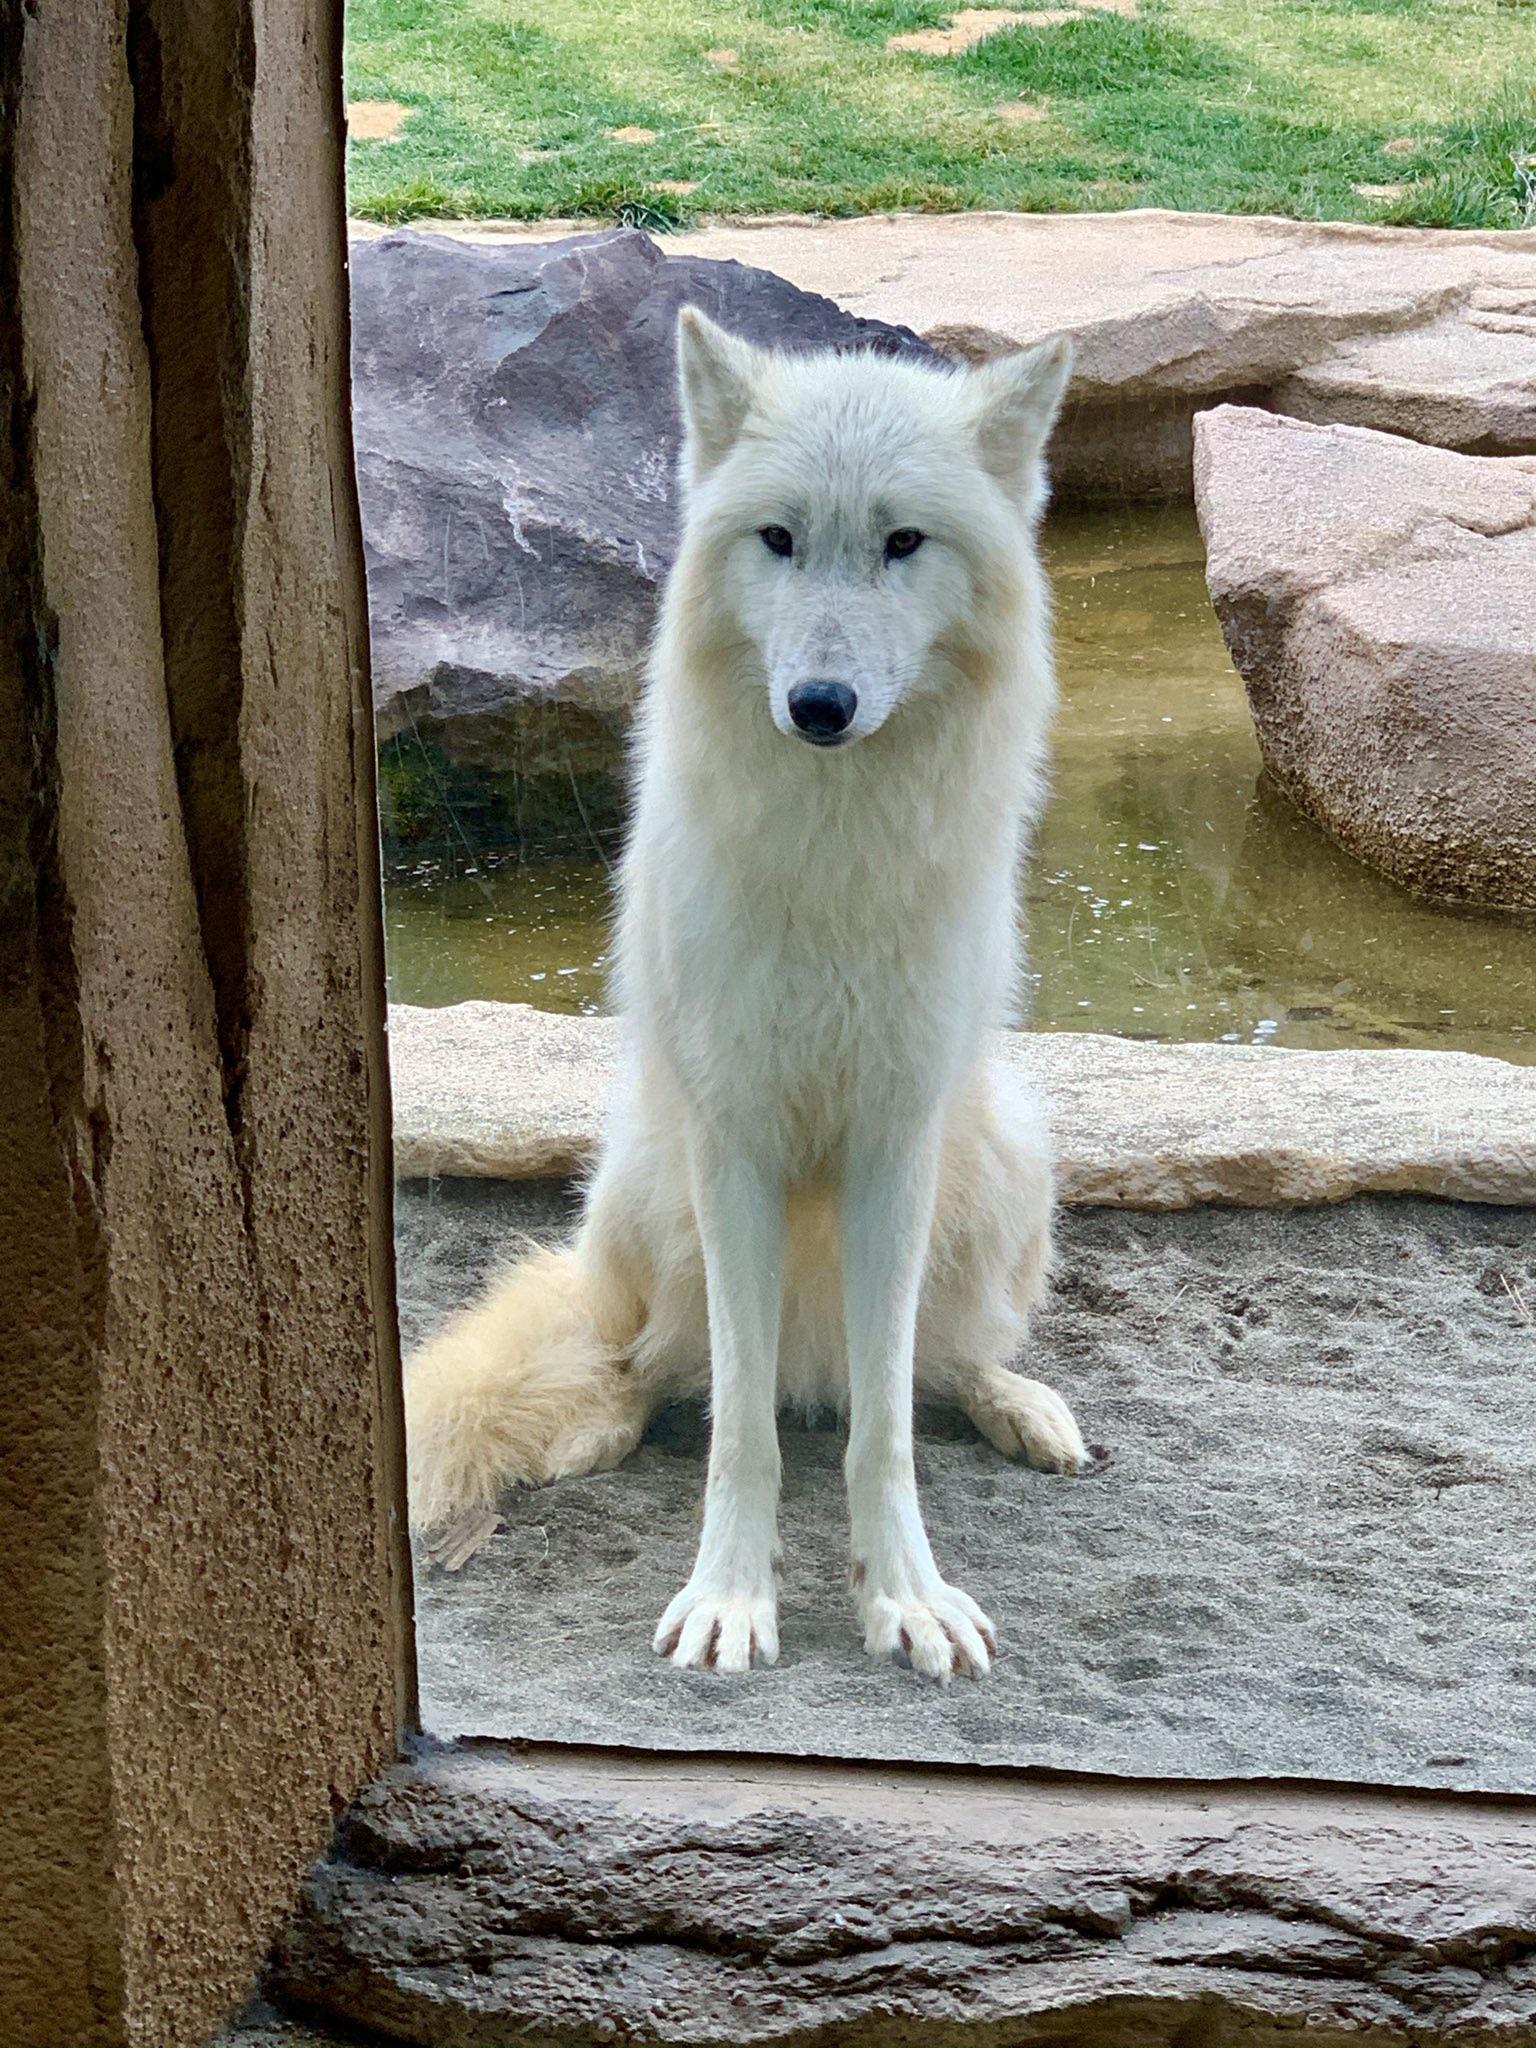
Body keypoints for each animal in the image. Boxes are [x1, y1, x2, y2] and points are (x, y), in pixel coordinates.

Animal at [405, 306, 1090, 1682]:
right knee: (654, 1365)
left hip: (1003, 1147)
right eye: (777, 537)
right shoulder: (735, 1144)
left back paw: (1021, 1404)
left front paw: (905, 1598)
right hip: (644, 1183)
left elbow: (883, 1430)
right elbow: (740, 1429)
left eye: (902, 542)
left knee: (934, 1365)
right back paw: (601, 1424)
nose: (819, 705)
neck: (832, 850)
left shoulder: (892, 1143)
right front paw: (731, 1596)